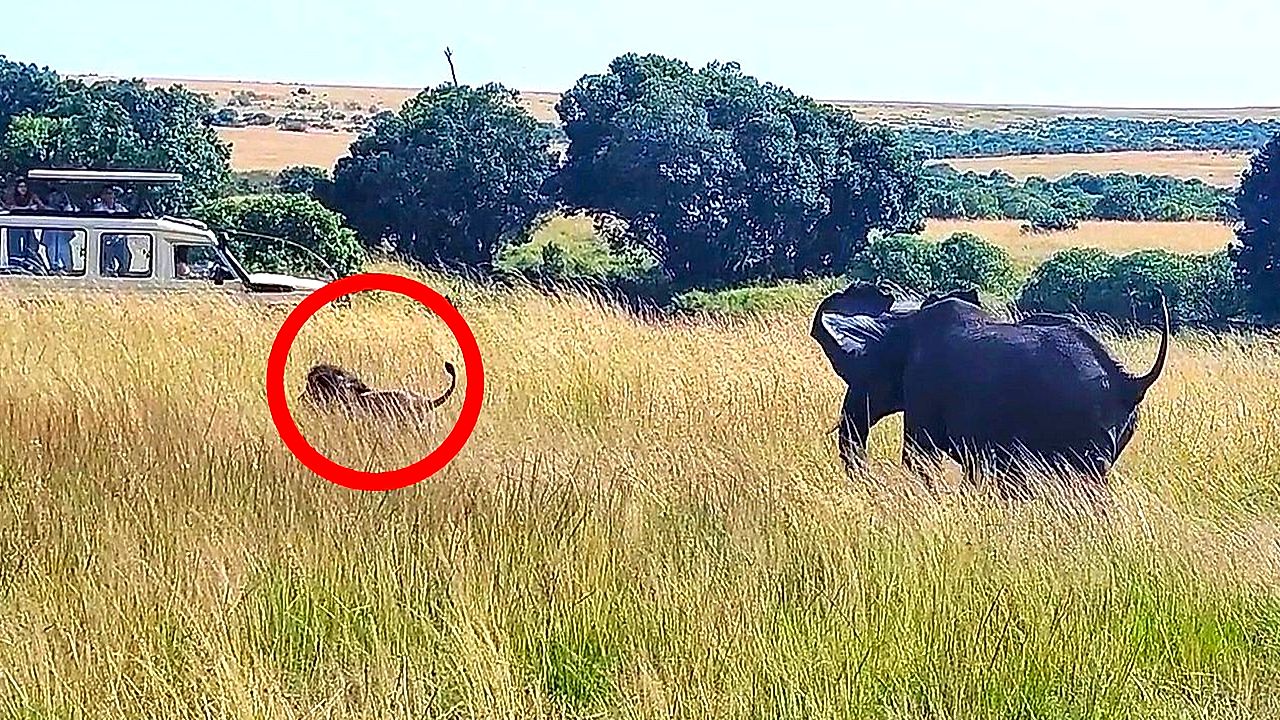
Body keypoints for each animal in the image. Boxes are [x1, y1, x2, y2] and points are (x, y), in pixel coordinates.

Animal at [809, 281, 1170, 499]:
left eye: (864, 374)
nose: (869, 481)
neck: (903, 324)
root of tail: (1129, 382)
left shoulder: (924, 386)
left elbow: (918, 458)